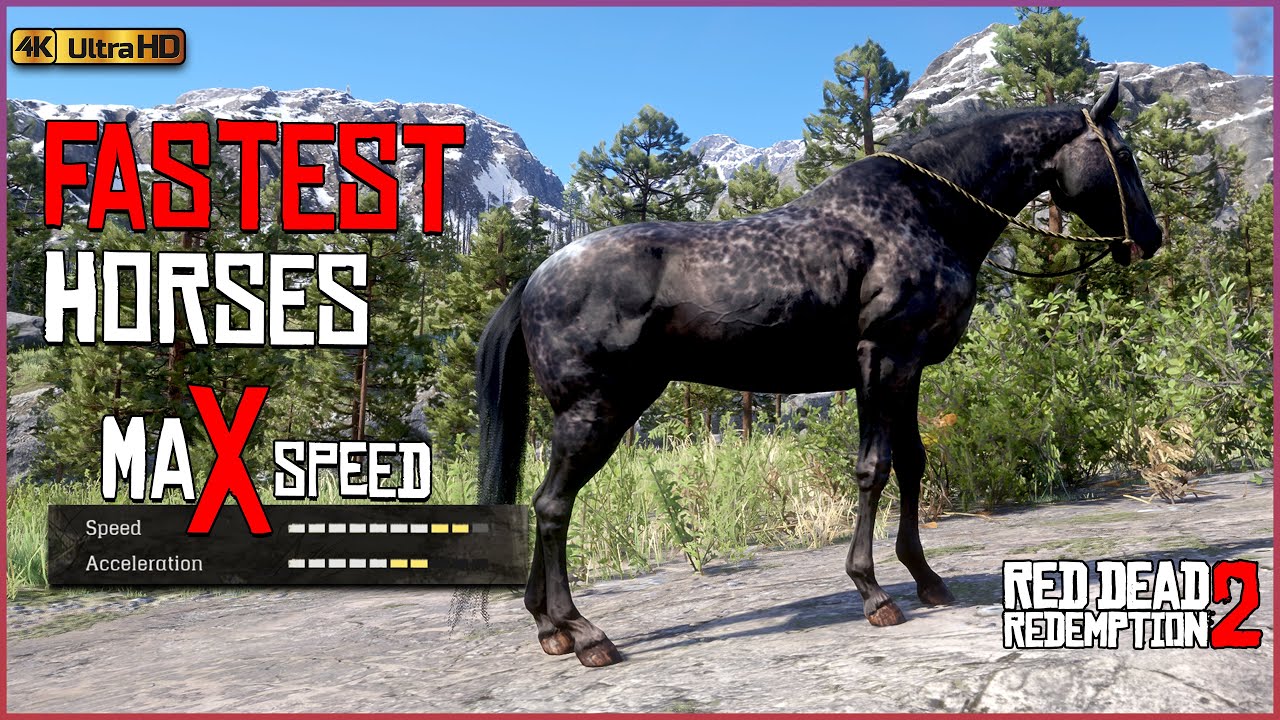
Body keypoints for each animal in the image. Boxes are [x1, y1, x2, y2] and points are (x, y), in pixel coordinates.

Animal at [474, 77, 1162, 667]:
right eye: (1123, 153)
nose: (1151, 236)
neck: (925, 208)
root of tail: (534, 278)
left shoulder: (907, 368)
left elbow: (912, 464)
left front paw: (925, 578)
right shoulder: (883, 358)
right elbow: (873, 469)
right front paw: (872, 591)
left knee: (546, 503)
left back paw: (549, 626)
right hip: (598, 410)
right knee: (553, 506)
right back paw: (585, 632)